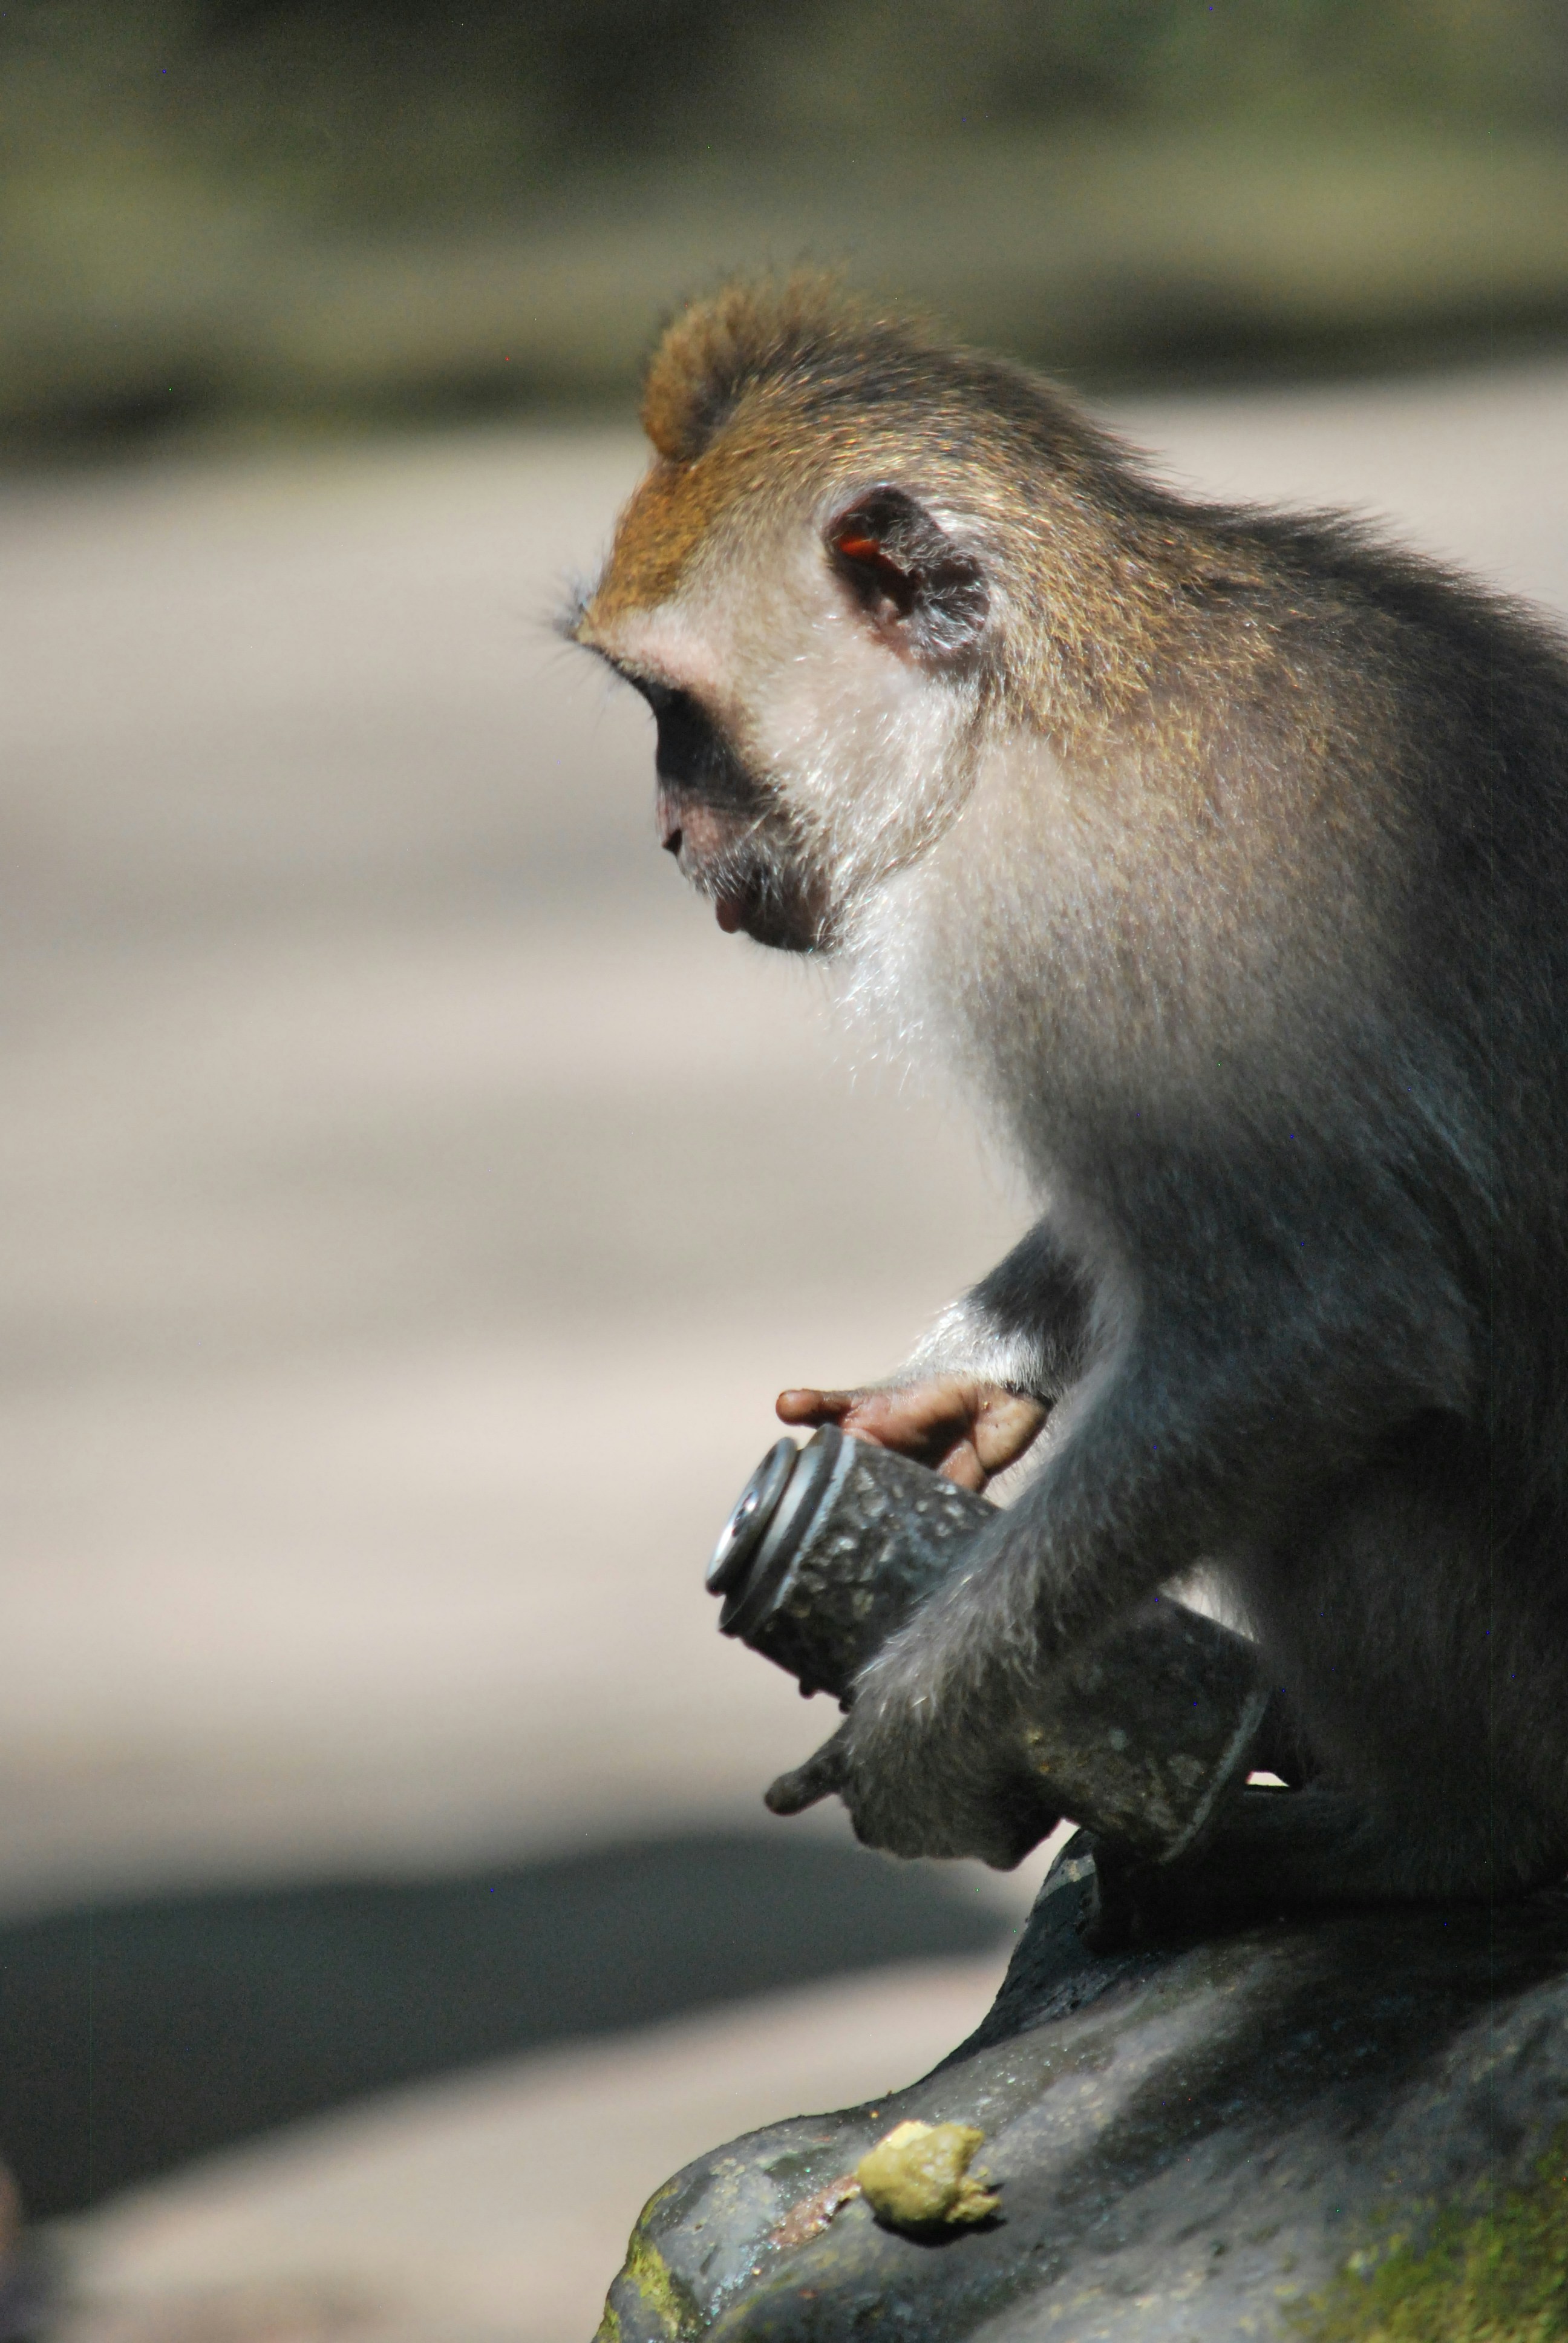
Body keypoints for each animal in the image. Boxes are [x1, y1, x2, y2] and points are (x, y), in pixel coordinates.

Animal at [569, 272, 1568, 1928]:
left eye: (676, 710)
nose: (661, 833)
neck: (1028, 699)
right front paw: (946, 1391)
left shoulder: (1075, 917)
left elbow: (1320, 1323)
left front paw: (920, 1724)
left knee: (1331, 1476)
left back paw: (1449, 1843)